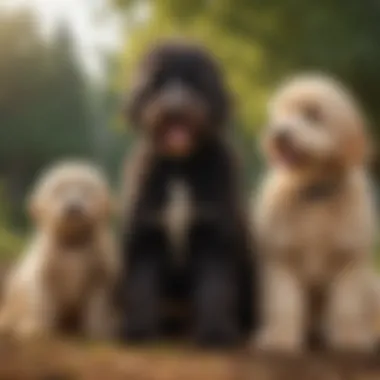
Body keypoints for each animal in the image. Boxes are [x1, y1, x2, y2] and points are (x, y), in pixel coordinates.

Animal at [0, 162, 119, 340]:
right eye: (57, 191)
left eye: (87, 190)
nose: (73, 207)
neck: (73, 244)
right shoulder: (44, 271)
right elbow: (42, 299)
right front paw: (36, 330)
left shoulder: (100, 273)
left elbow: (97, 304)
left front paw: (101, 333)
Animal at [120, 39, 260, 348]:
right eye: (158, 81)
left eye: (196, 80)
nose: (175, 109)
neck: (181, 166)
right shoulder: (146, 234)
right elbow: (141, 286)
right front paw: (137, 329)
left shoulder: (214, 235)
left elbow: (215, 289)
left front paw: (216, 333)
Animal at [252, 74, 378, 354]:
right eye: (281, 113)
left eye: (312, 114)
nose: (279, 135)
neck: (314, 192)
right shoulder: (282, 259)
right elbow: (284, 304)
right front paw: (279, 339)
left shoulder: (347, 261)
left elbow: (347, 308)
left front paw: (351, 340)